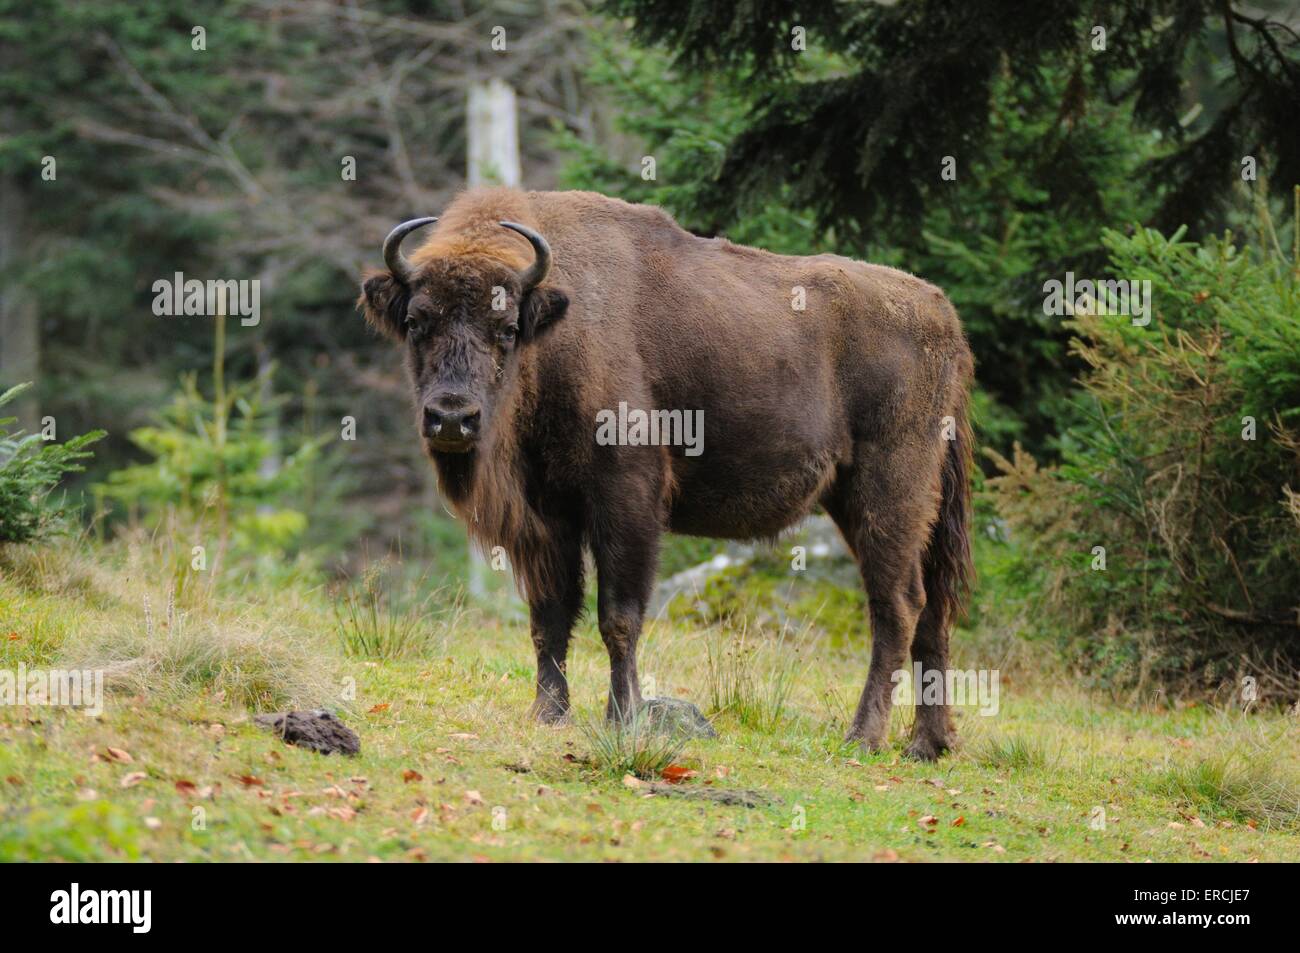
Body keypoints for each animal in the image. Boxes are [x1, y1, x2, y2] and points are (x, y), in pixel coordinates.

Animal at [359, 187, 973, 759]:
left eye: (507, 327)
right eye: (415, 321)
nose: (452, 417)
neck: (557, 330)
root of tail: (944, 316)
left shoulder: (626, 500)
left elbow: (617, 616)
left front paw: (621, 718)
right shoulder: (548, 517)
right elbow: (549, 616)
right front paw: (548, 714)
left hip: (889, 492)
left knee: (897, 606)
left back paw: (864, 737)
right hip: (881, 504)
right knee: (933, 611)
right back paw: (928, 744)